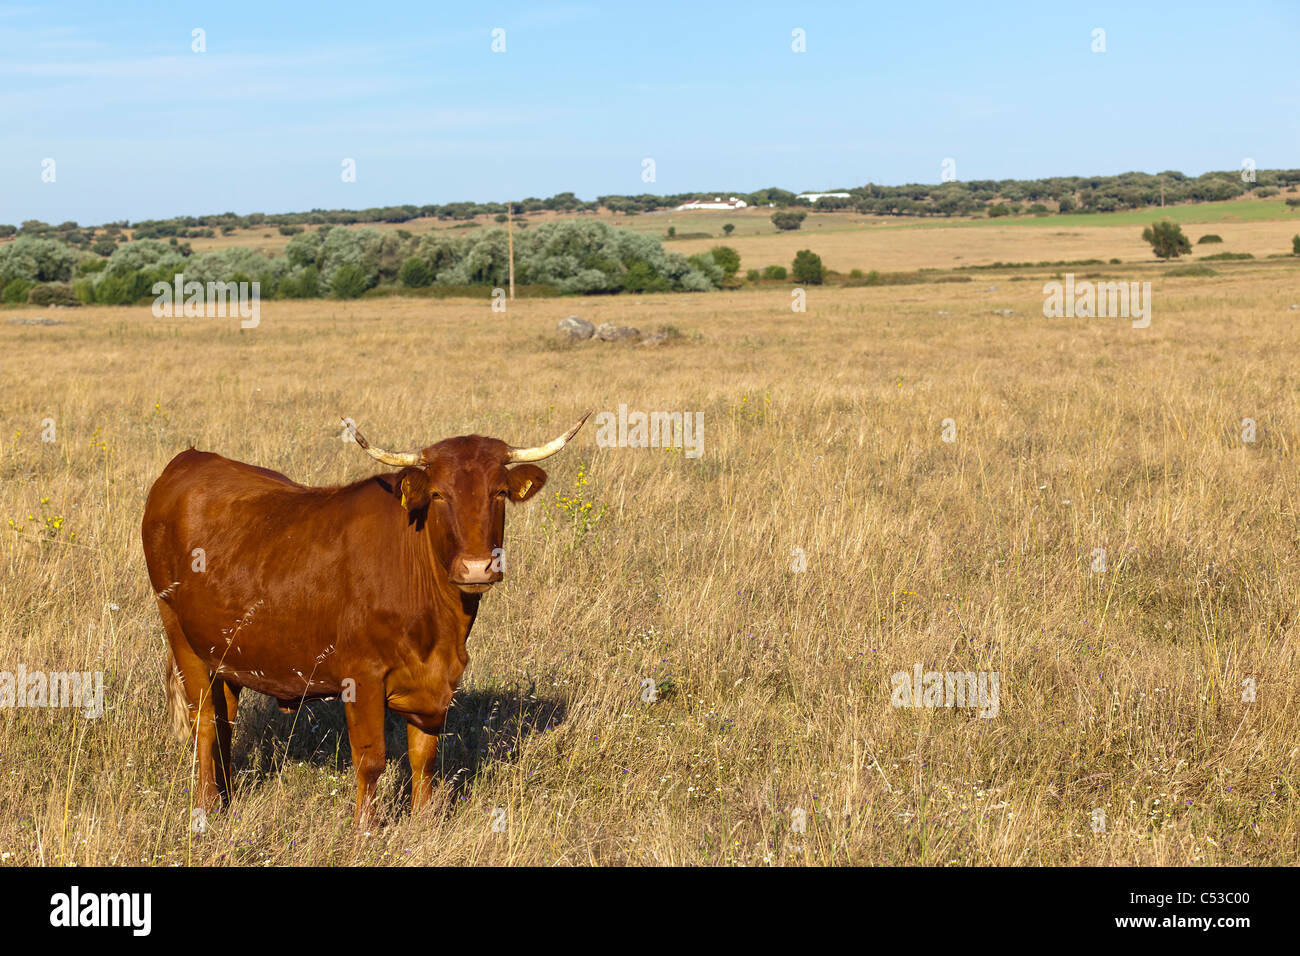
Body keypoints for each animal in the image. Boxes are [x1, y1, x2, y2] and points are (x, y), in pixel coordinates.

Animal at [141, 413, 589, 822]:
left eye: (498, 492)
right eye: (439, 494)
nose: (477, 568)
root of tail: (191, 458)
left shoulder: (436, 683)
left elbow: (424, 757)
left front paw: (421, 823)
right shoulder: (362, 677)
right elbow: (371, 761)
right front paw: (365, 832)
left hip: (226, 650)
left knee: (225, 721)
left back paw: (228, 798)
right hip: (180, 633)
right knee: (205, 720)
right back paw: (206, 809)